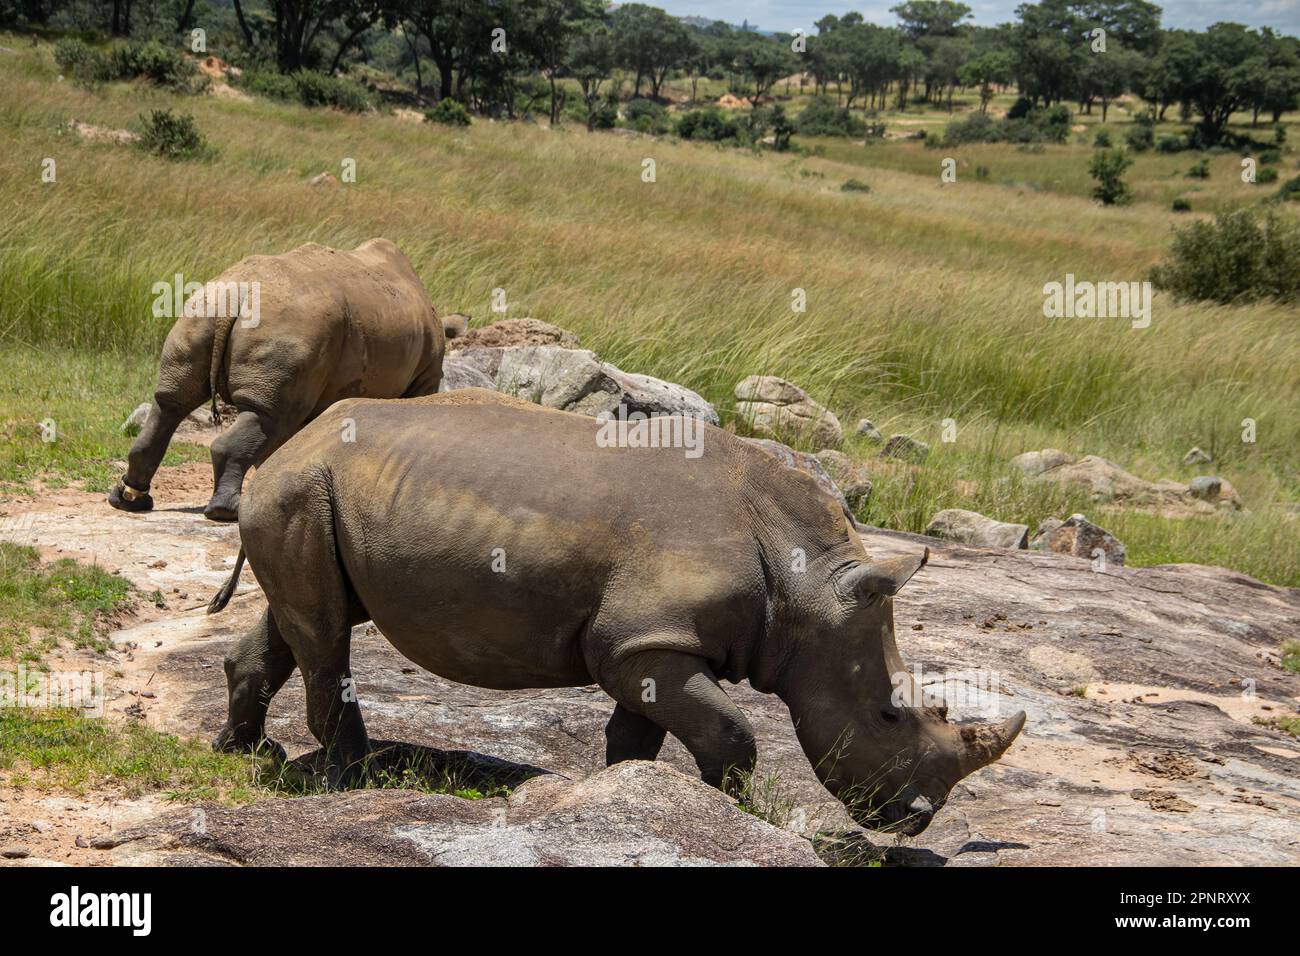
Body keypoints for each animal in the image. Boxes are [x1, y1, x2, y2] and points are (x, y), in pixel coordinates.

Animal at [108, 239, 458, 522]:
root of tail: (238, 292)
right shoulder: (425, 376)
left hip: (202, 311)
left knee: (170, 403)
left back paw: (129, 500)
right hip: (290, 326)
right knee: (268, 415)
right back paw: (227, 513)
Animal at [209, 389, 1024, 834]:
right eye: (889, 715)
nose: (919, 818)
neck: (811, 586)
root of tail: (293, 444)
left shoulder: (648, 642)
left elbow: (639, 735)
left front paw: (626, 797)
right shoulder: (642, 640)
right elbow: (730, 733)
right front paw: (735, 814)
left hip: (313, 493)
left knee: (304, 618)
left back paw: (244, 751)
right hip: (306, 487)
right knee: (324, 635)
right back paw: (353, 781)